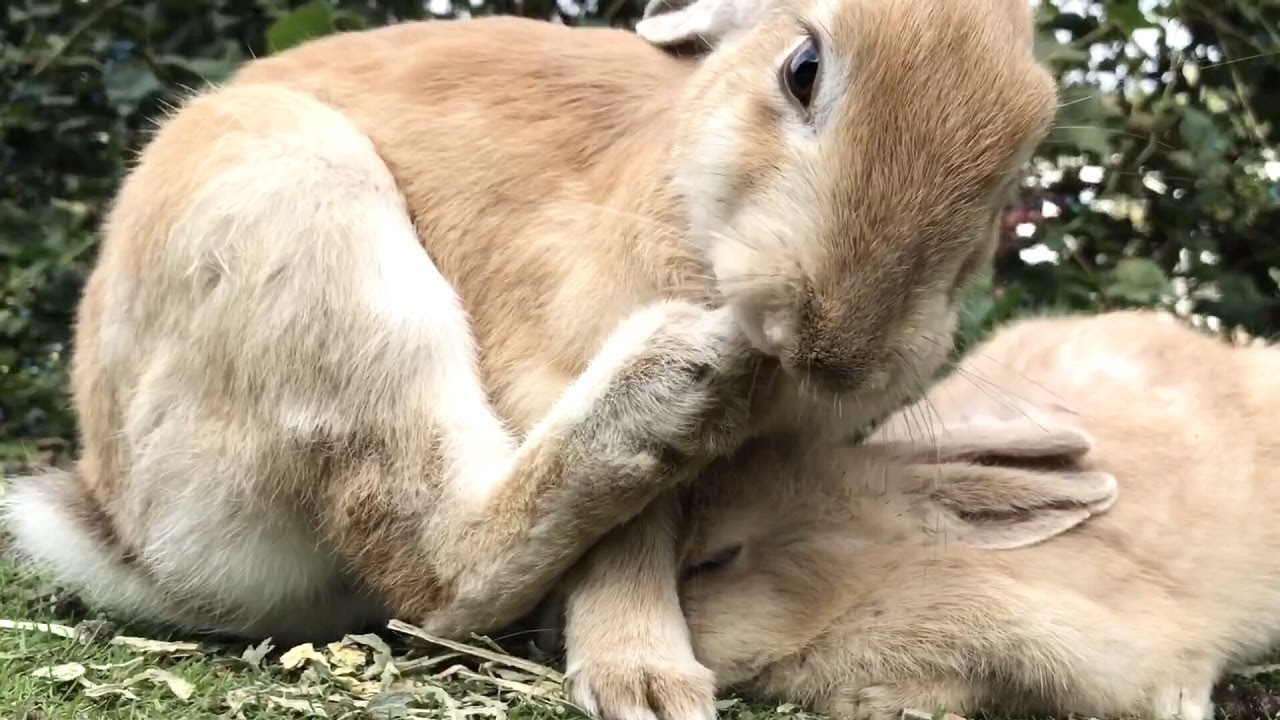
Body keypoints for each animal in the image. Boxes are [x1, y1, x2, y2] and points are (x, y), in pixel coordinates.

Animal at [1, 0, 1059, 717]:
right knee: (437, 574)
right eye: (803, 68)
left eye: (1019, 156)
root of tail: (118, 517)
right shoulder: (546, 355)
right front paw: (648, 683)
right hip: (299, 202)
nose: (839, 348)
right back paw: (677, 375)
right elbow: (627, 543)